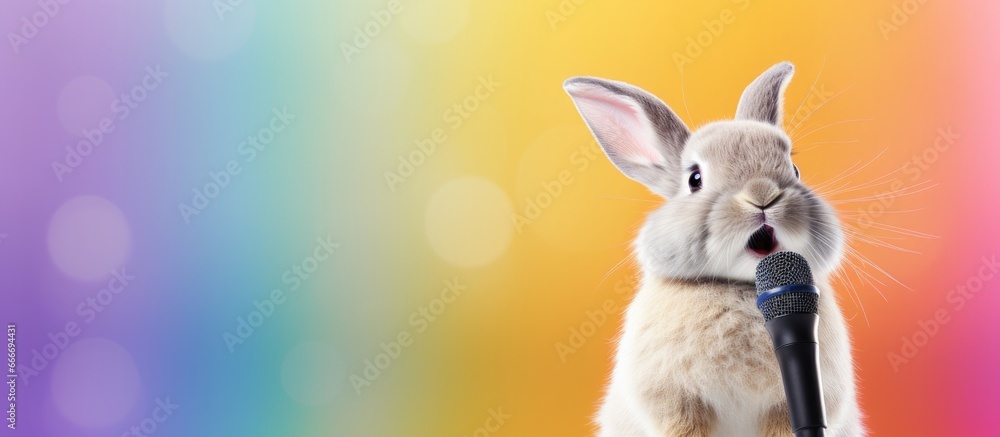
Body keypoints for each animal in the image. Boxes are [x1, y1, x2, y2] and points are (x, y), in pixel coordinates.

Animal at [562, 62, 865, 437]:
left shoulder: (788, 407)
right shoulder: (676, 403)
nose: (762, 194)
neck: (742, 288)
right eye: (695, 179)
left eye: (795, 170)